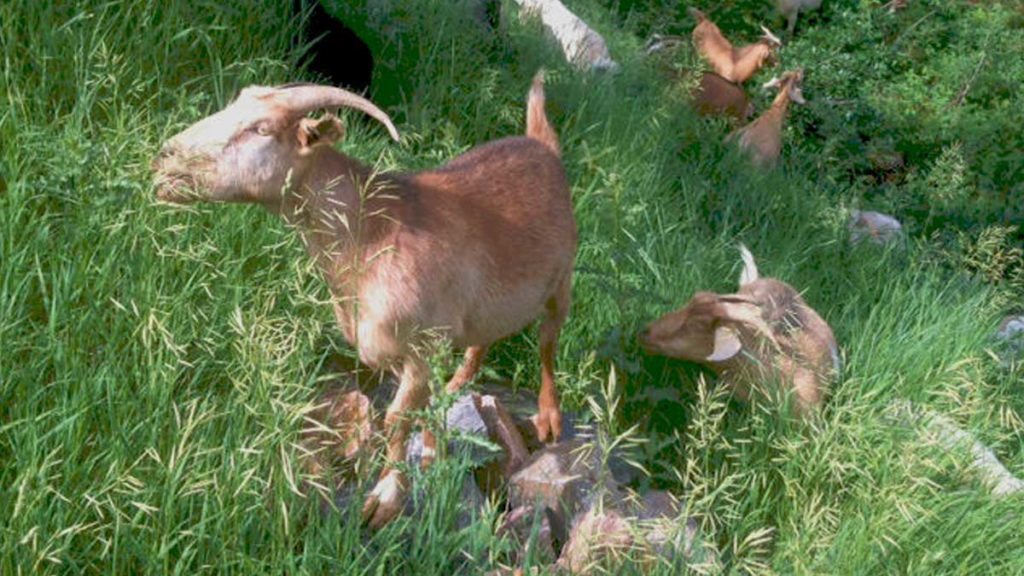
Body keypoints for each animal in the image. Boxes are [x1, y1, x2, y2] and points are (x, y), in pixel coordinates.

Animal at [152, 72, 577, 528]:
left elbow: (396, 419)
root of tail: (542, 143)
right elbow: (409, 410)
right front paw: (428, 453)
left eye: (262, 129)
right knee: (478, 350)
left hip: (561, 283)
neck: (373, 232)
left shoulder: (423, 346)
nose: (166, 158)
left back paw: (549, 418)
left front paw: (386, 499)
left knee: (548, 344)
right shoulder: (396, 351)